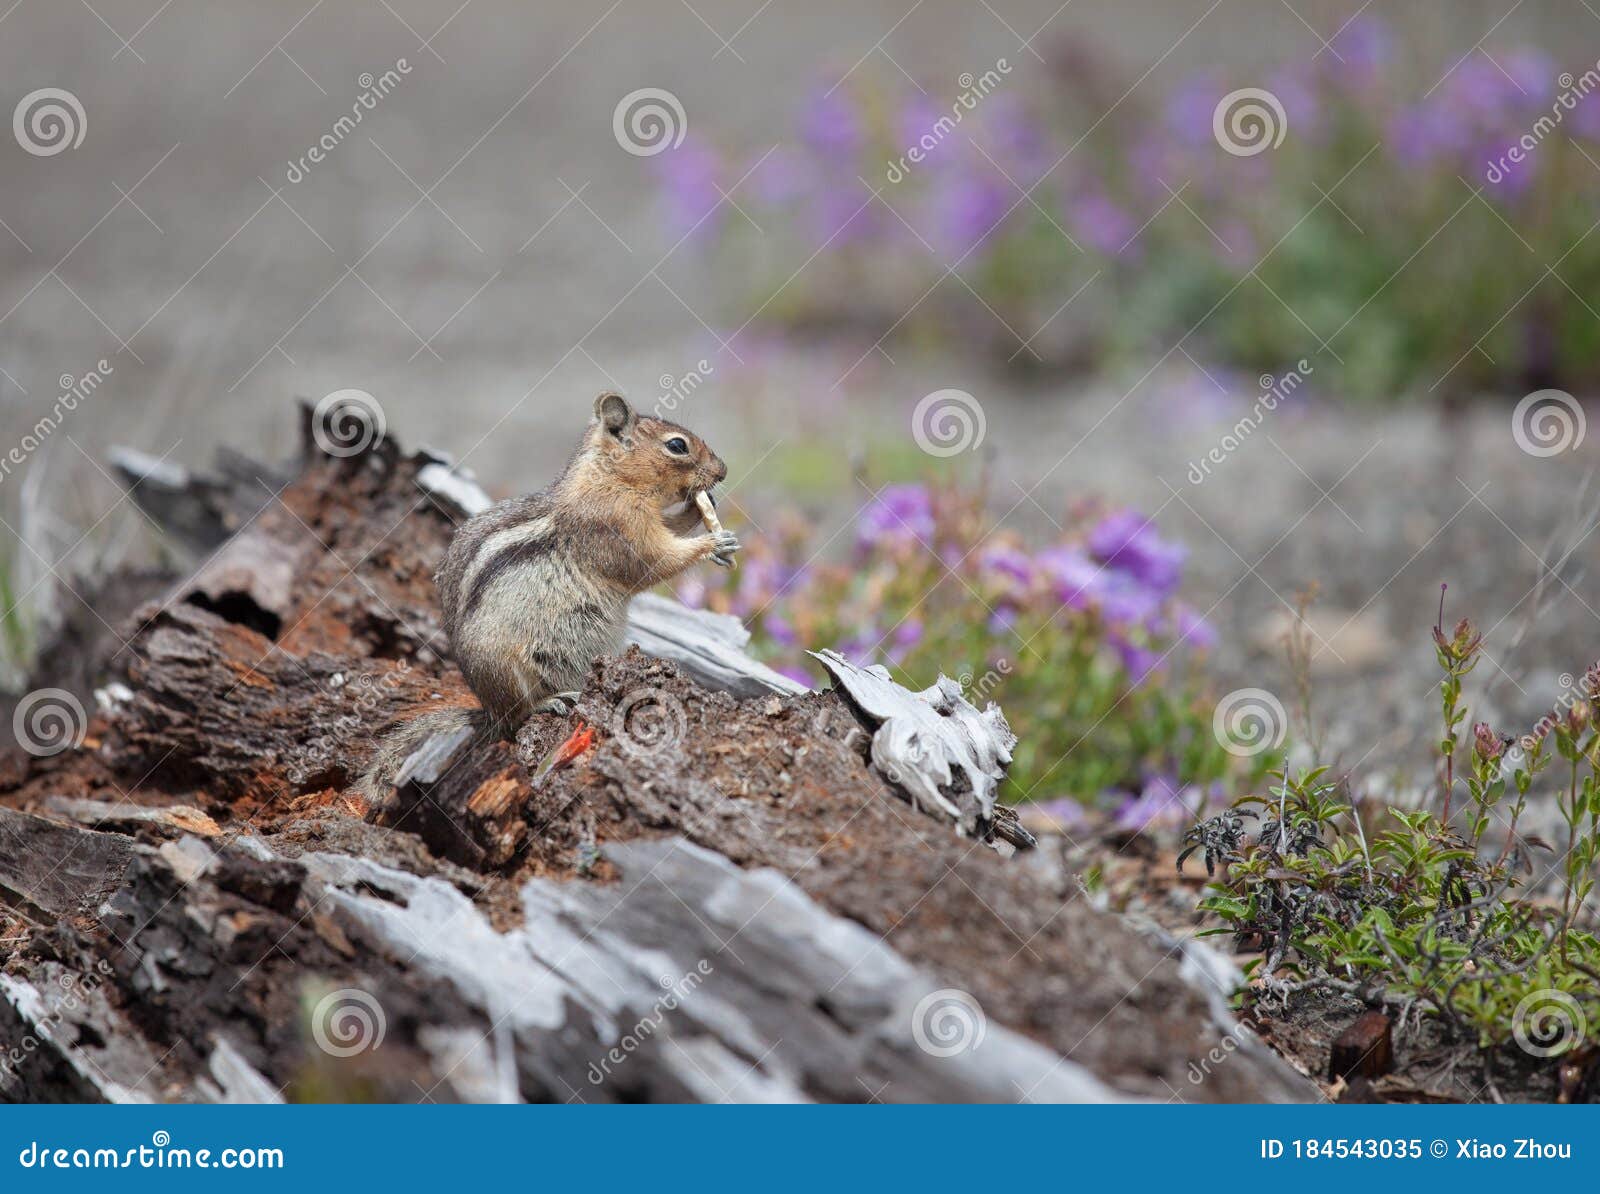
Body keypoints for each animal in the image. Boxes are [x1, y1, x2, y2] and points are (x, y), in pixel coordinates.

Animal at [357, 390, 738, 799]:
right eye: (677, 445)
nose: (723, 471)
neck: (609, 478)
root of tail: (488, 713)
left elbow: (670, 528)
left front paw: (701, 509)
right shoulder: (617, 528)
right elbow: (654, 561)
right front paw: (712, 543)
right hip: (504, 668)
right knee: (519, 714)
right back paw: (550, 701)